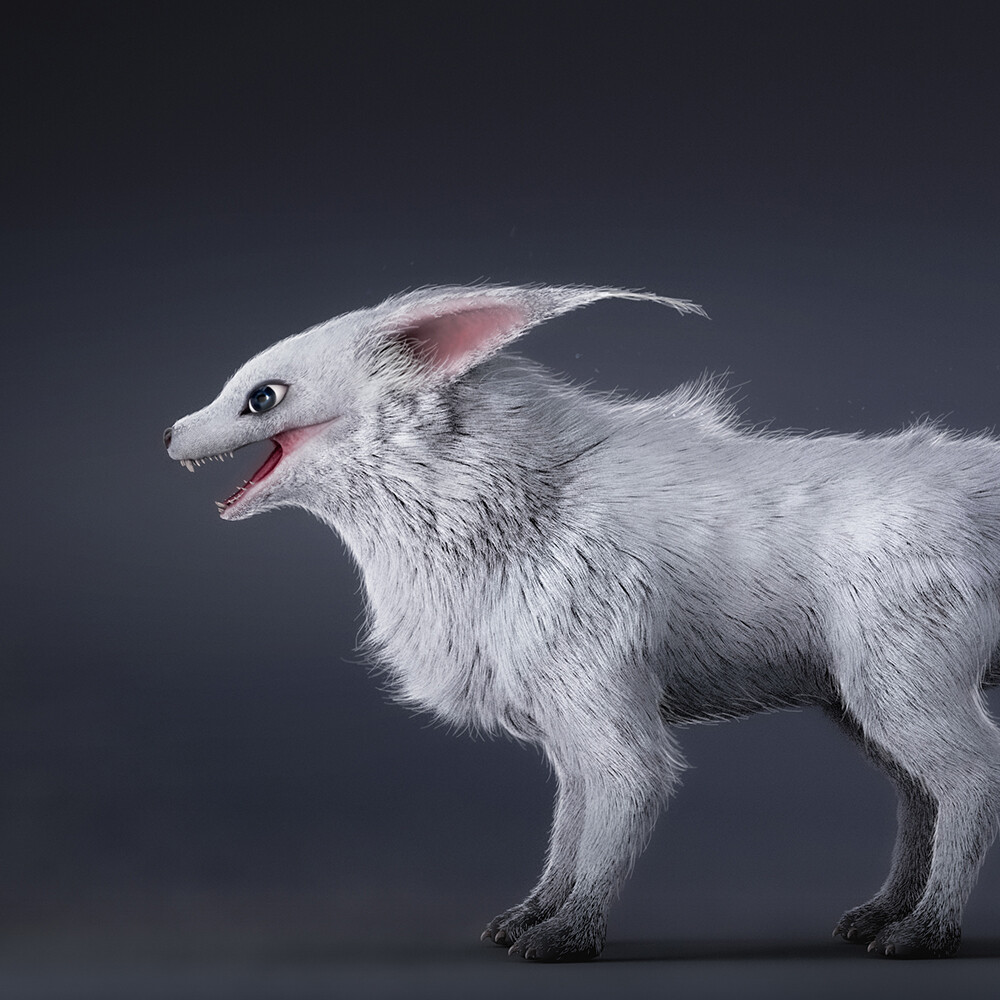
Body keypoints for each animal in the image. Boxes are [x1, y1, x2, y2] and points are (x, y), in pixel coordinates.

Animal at [165, 282, 1000, 960]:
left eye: (261, 397)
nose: (169, 433)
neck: (509, 511)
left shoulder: (606, 701)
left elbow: (620, 806)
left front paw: (569, 936)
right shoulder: (562, 721)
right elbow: (569, 828)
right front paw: (528, 918)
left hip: (900, 678)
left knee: (972, 775)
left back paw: (925, 932)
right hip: (856, 697)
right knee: (918, 793)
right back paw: (882, 913)